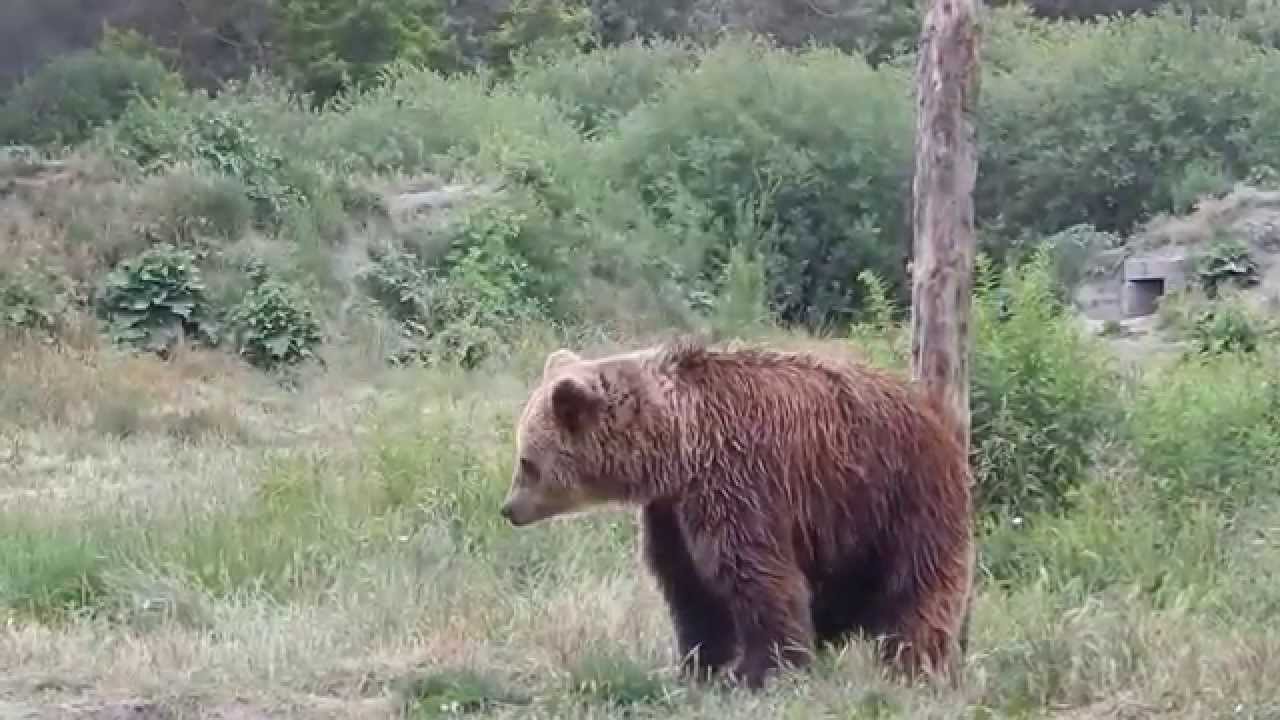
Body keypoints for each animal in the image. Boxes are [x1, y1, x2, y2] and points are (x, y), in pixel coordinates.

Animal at [499, 338, 974, 690]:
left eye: (526, 462)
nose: (508, 509)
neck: (675, 446)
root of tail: (937, 415)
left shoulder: (737, 481)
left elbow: (752, 573)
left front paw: (761, 670)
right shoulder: (670, 509)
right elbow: (687, 583)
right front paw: (699, 665)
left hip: (897, 496)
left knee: (916, 587)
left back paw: (914, 665)